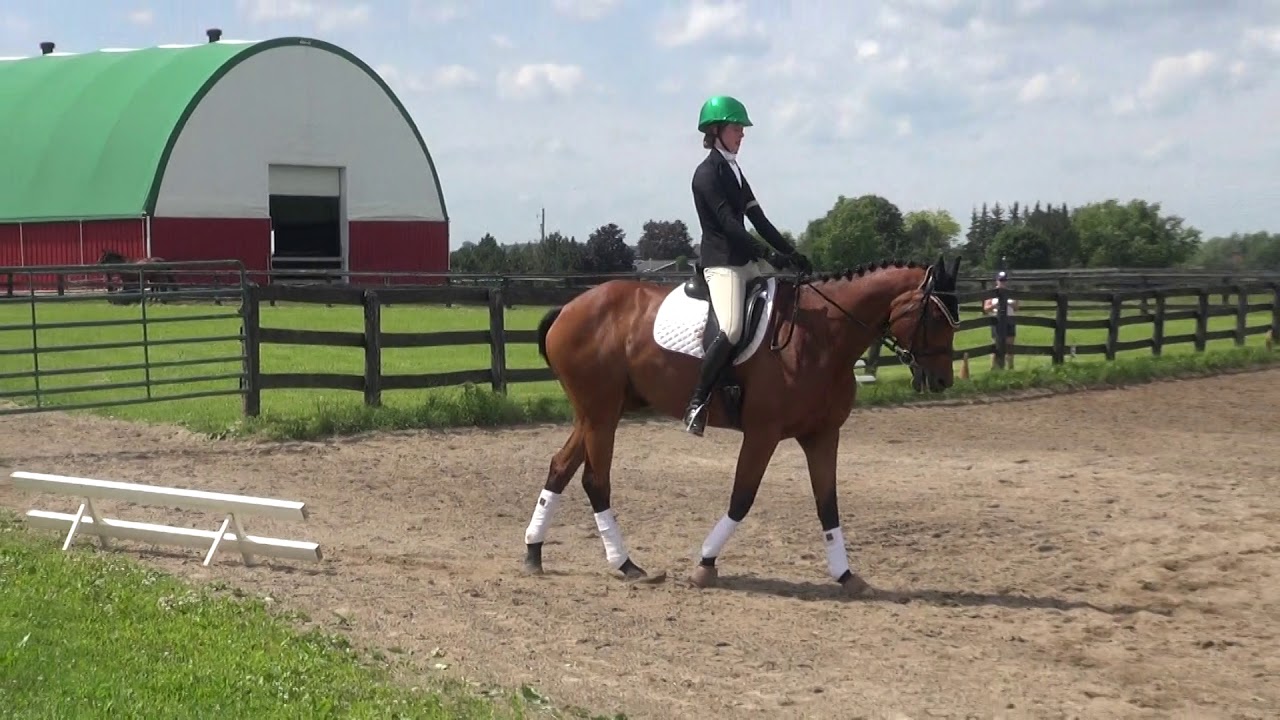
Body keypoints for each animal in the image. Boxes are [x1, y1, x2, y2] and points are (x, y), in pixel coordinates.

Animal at [522, 253, 962, 598]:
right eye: (935, 316)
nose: (942, 380)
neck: (821, 336)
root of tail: (568, 308)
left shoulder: (822, 435)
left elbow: (828, 504)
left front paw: (846, 575)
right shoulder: (762, 434)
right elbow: (742, 498)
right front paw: (705, 564)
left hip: (597, 413)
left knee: (560, 468)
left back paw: (534, 551)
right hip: (601, 415)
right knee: (595, 481)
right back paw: (625, 564)